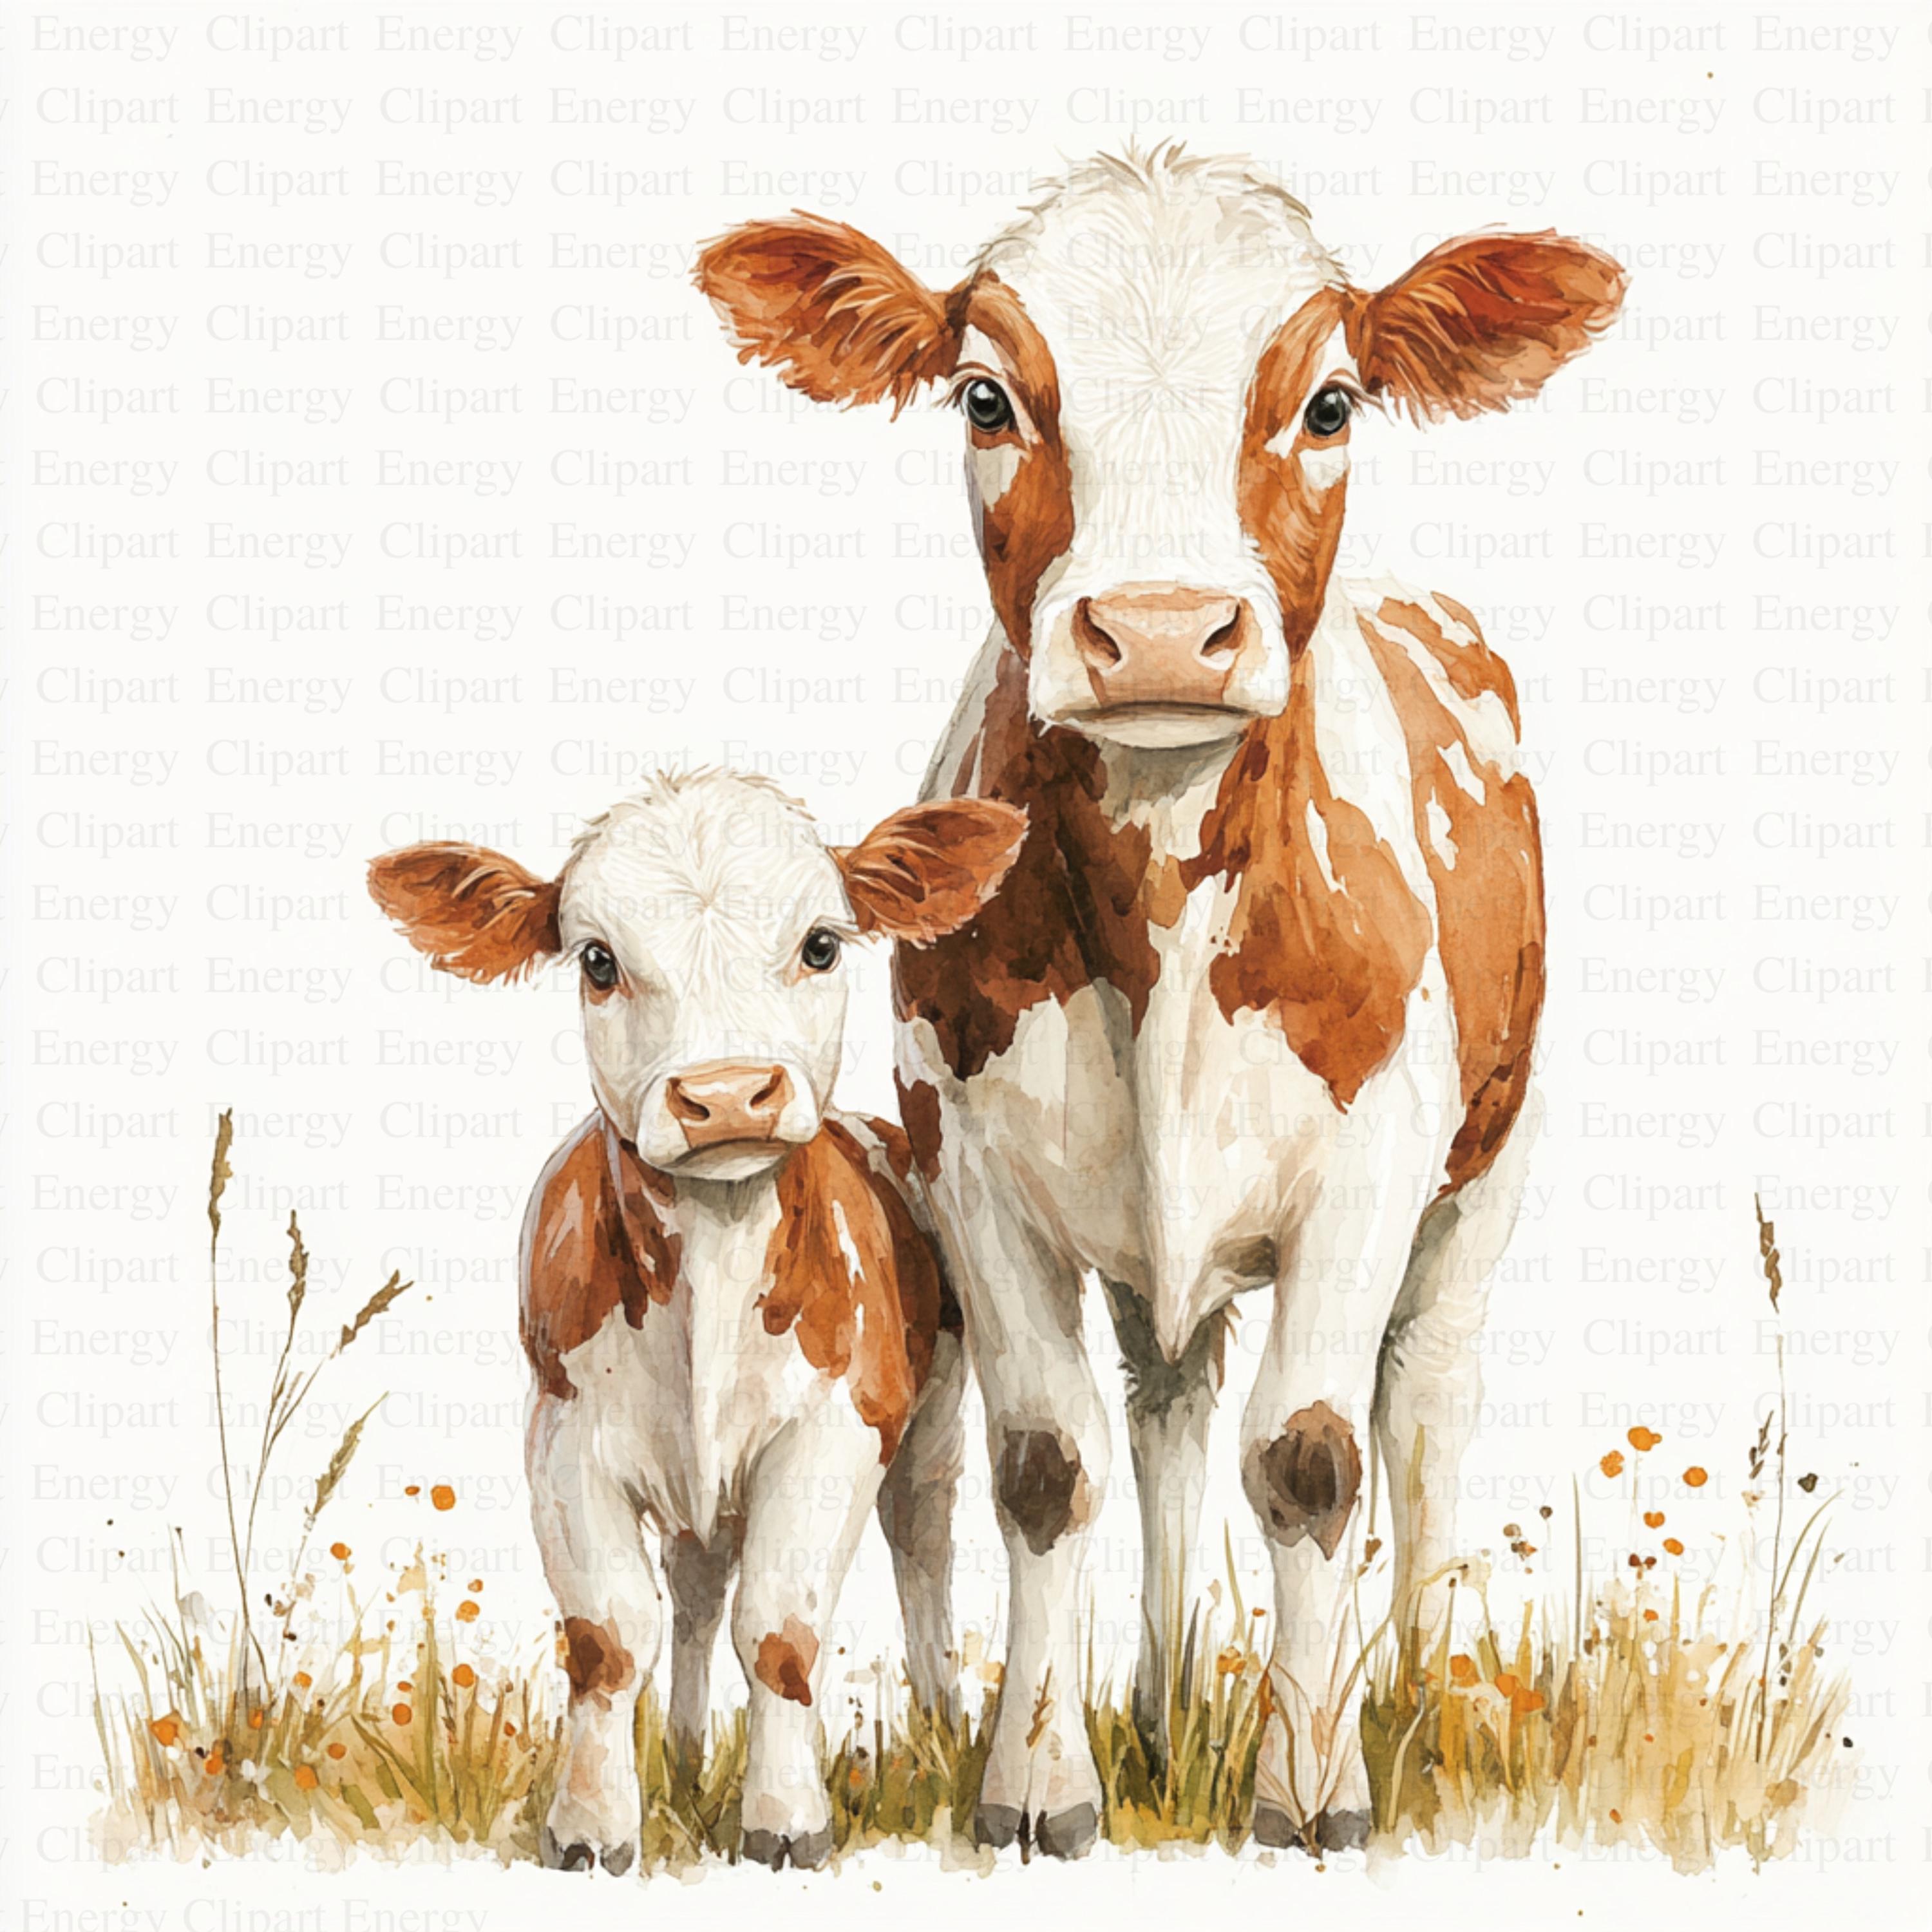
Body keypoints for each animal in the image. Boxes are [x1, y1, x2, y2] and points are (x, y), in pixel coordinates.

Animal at [369, 770, 1025, 1873]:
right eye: (598, 961)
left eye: (820, 944)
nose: (724, 1097)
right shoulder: (564, 1441)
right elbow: (610, 1636)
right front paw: (595, 1827)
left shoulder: (832, 1432)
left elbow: (781, 1629)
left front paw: (787, 1821)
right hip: (693, 1485)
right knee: (696, 1586)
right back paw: (680, 1753)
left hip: (930, 1421)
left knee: (920, 1545)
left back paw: (940, 1728)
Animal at [698, 145, 1624, 1857]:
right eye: (985, 396)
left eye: (1328, 401)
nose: (1155, 633)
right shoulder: (969, 1168)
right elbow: (1048, 1464)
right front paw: (1038, 1781)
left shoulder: (1369, 1170)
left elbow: (1314, 1458)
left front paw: (1309, 1787)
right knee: (1170, 1408)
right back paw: (1162, 1695)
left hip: (1490, 1161)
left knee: (1423, 1405)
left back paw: (1405, 1695)